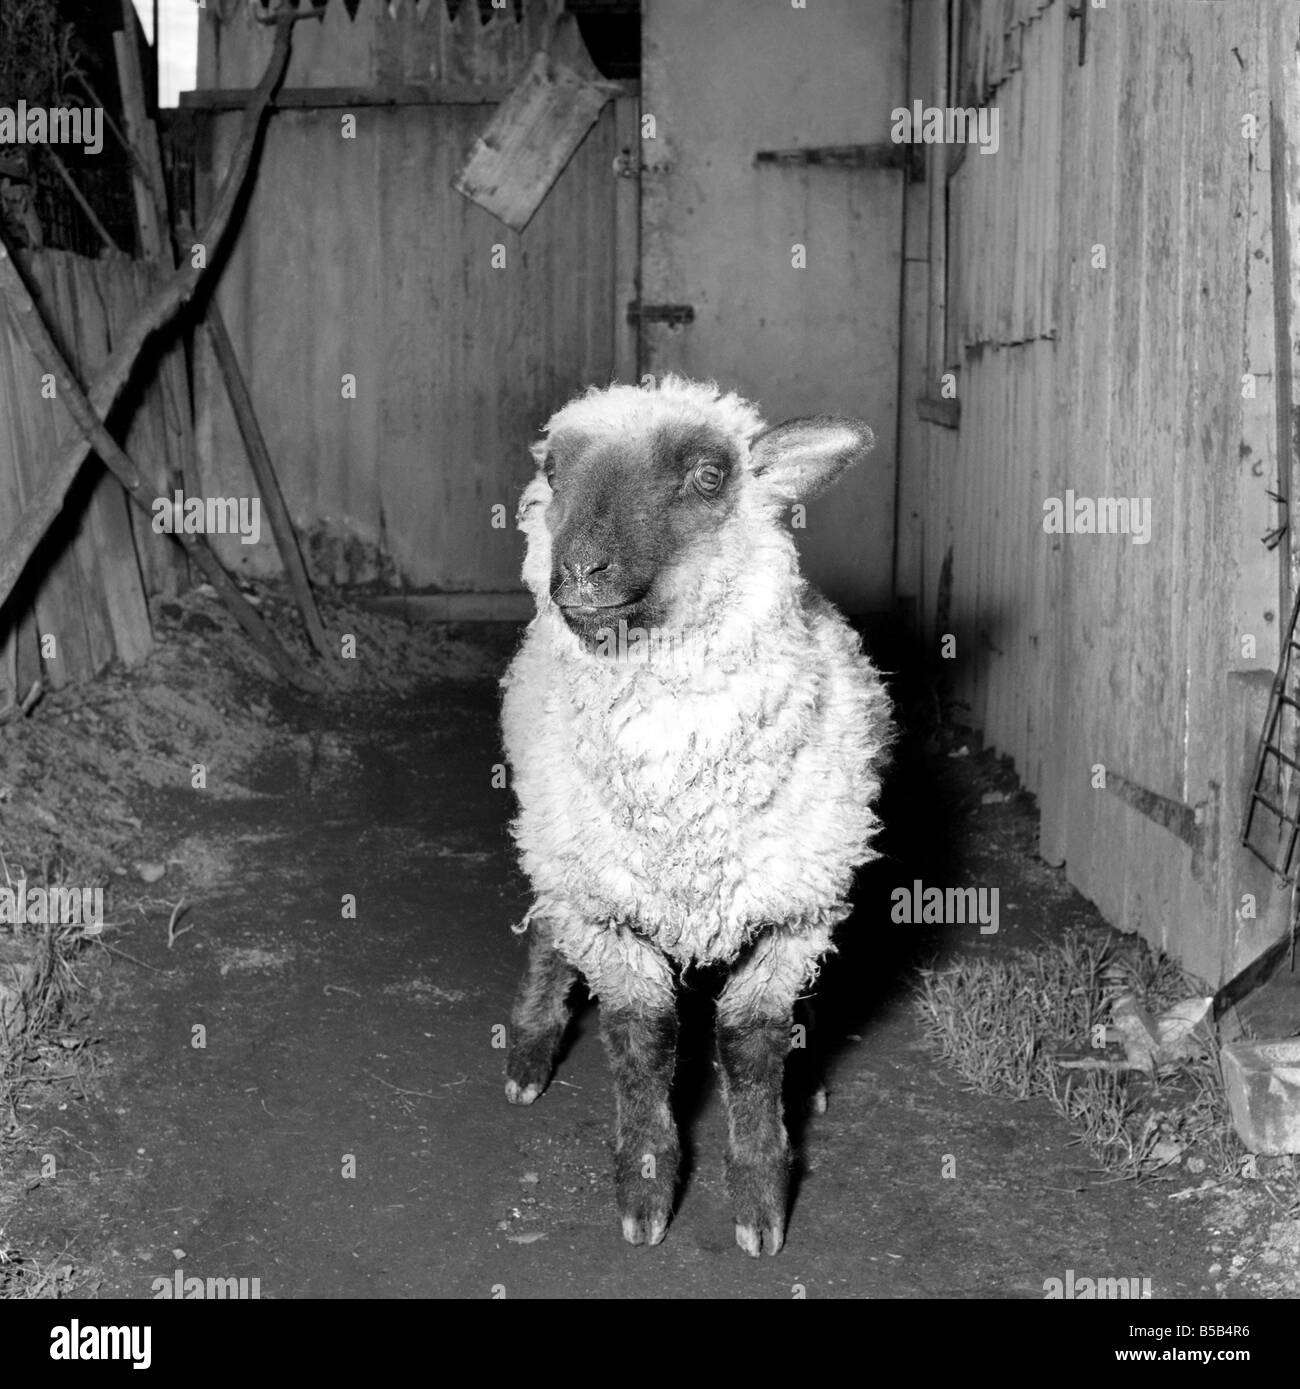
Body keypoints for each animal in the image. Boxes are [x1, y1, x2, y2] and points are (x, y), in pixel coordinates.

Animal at [500, 374, 892, 1257]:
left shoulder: (798, 910)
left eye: (710, 477)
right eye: (553, 468)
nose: (578, 573)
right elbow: (643, 1036)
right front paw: (647, 1188)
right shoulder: (602, 906)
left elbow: (751, 1041)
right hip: (556, 848)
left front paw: (759, 1191)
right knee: (544, 934)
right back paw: (529, 1053)